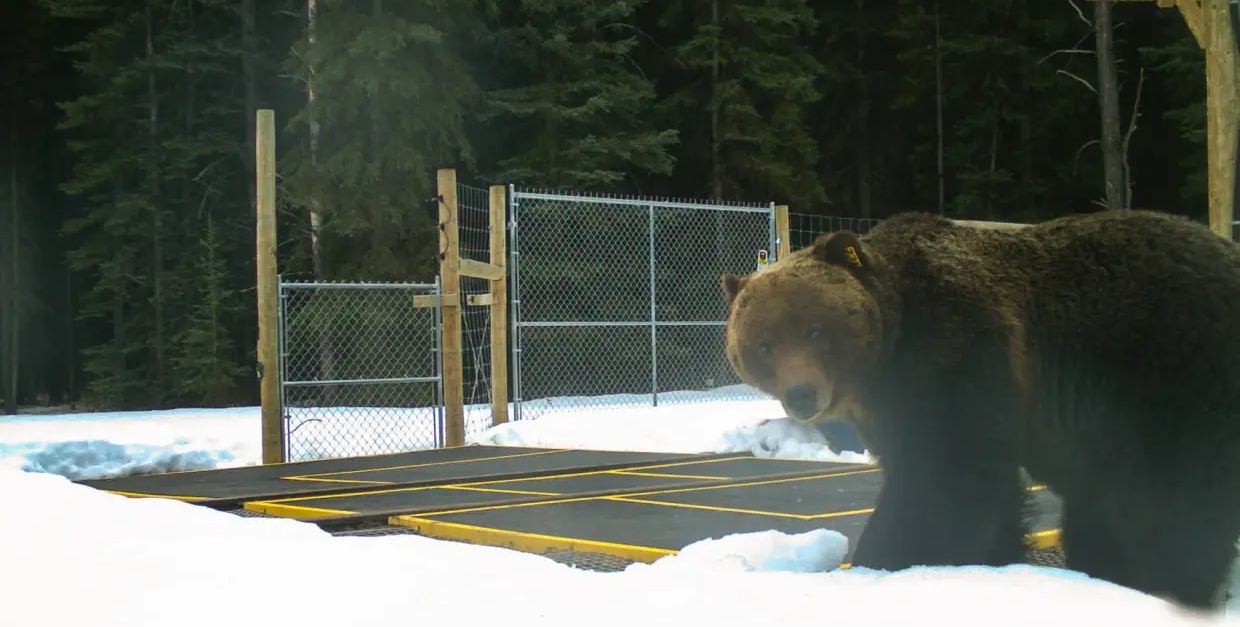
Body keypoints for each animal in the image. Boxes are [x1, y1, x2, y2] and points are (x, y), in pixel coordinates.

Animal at [720, 209, 1240, 611]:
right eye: (763, 345)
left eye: (815, 330)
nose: (802, 394)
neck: (889, 350)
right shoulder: (893, 408)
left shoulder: (957, 356)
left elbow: (947, 483)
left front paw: (884, 560)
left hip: (1168, 372)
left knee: (1167, 500)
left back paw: (1162, 583)